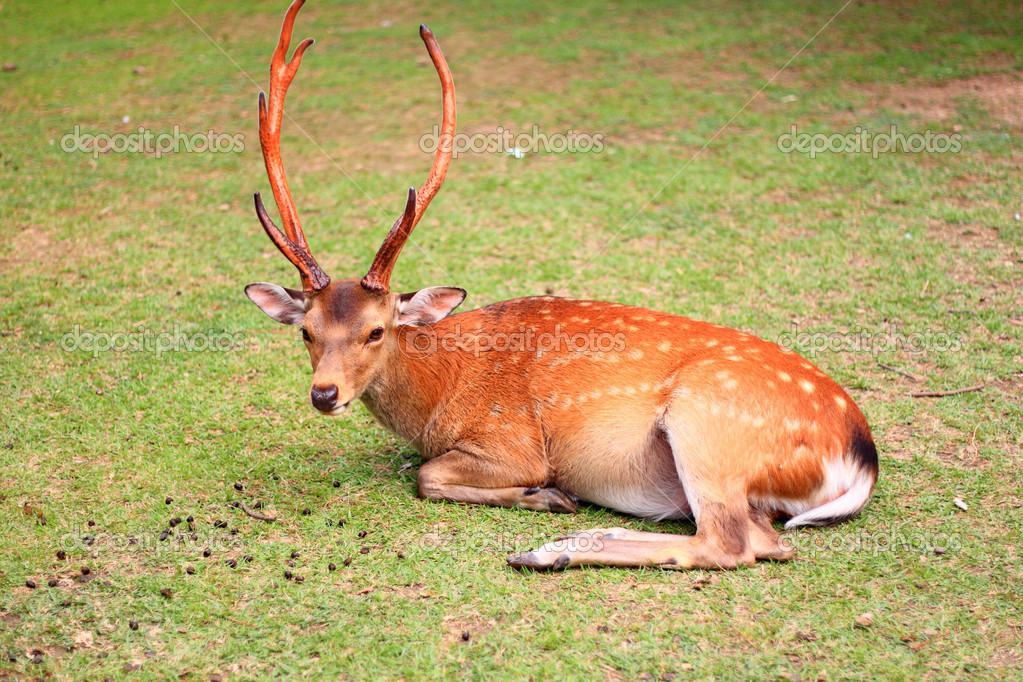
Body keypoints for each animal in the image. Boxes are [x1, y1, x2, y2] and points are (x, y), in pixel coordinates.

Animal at [244, 0, 879, 571]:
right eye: (306, 331)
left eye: (376, 331)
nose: (324, 394)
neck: (438, 394)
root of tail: (862, 455)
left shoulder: (509, 441)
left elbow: (426, 476)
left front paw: (547, 494)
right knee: (764, 537)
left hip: (707, 422)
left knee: (734, 543)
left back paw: (551, 549)